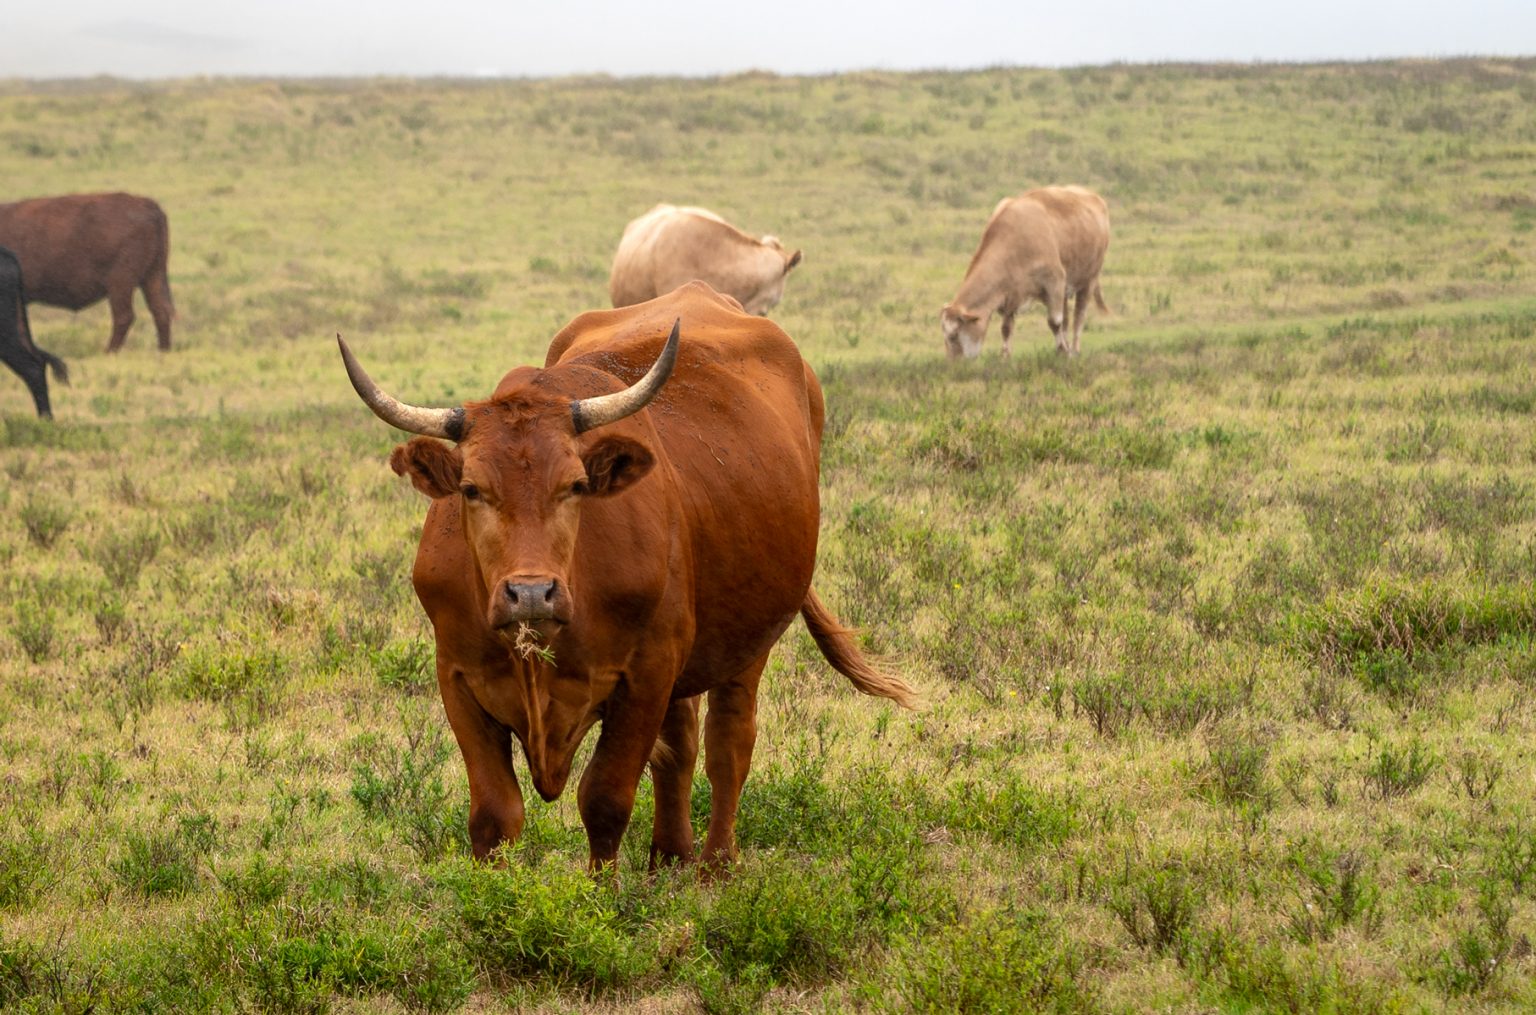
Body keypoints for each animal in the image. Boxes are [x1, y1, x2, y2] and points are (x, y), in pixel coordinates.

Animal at [0, 192, 175, 353]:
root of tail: (147, 204)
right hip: (153, 276)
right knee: (160, 311)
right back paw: (163, 351)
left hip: (121, 283)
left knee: (124, 316)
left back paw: (109, 352)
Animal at [340, 282, 915, 871]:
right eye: (471, 489)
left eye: (575, 485)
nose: (531, 594)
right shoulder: (457, 678)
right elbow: (495, 815)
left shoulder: (646, 676)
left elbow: (605, 799)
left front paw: (604, 890)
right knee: (681, 745)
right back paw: (669, 855)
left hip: (749, 639)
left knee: (728, 743)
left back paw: (715, 864)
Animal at [941, 185, 1110, 358]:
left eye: (953, 335)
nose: (952, 362)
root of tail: (1092, 195)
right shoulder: (1010, 295)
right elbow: (1006, 328)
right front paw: (1005, 357)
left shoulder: (1054, 281)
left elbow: (1054, 322)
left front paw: (1062, 351)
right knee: (1067, 319)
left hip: (1089, 280)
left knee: (1079, 317)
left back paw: (1074, 350)